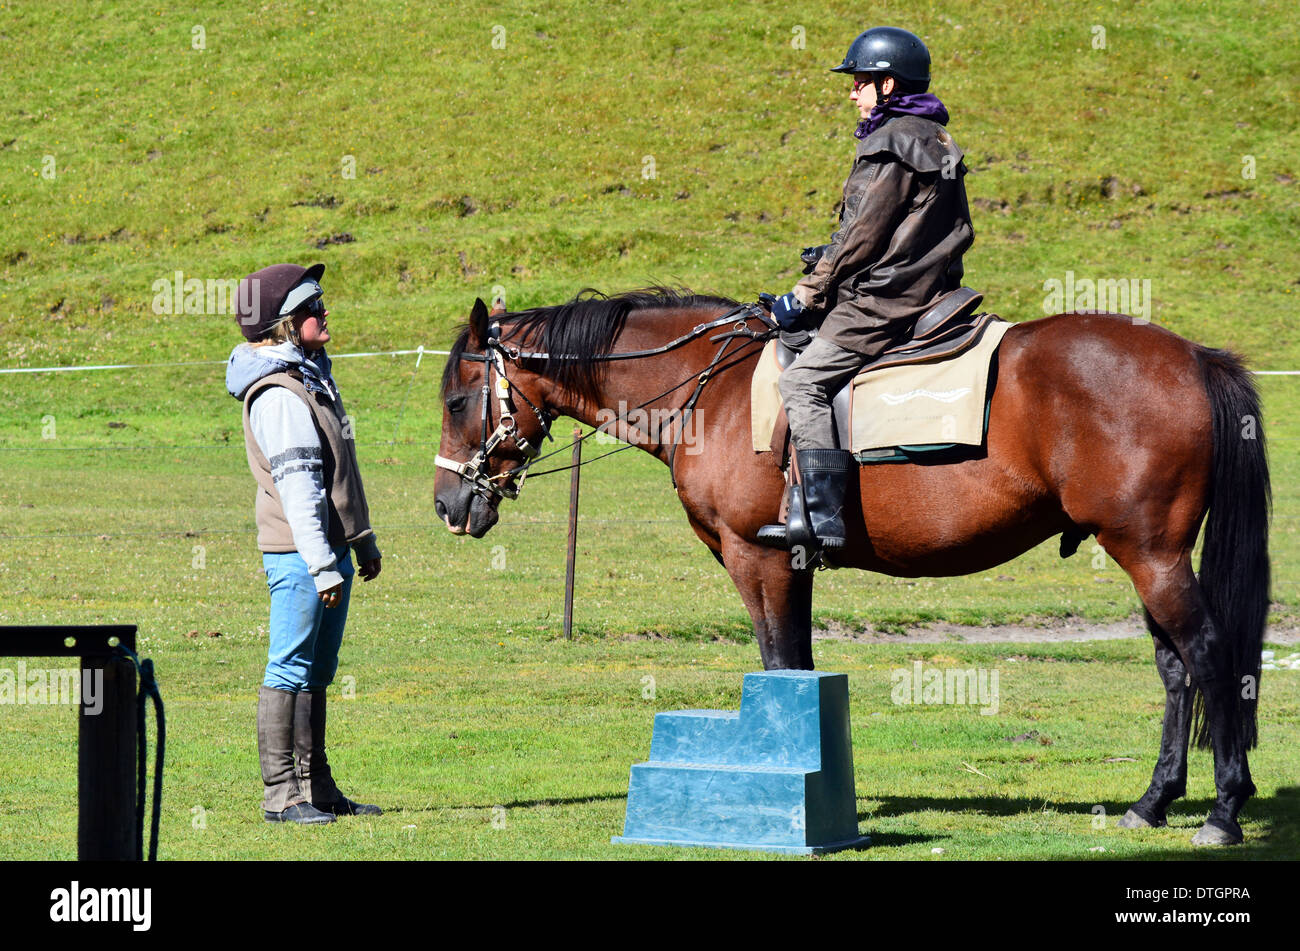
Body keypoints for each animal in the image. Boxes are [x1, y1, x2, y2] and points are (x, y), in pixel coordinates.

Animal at [433, 286, 1271, 847]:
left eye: (457, 401)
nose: (446, 503)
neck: (714, 387)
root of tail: (1193, 356)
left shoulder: (758, 557)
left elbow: (777, 663)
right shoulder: (794, 563)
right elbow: (800, 664)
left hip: (1151, 554)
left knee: (1208, 655)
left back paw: (1224, 810)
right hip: (1141, 554)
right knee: (1175, 668)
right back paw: (1153, 801)